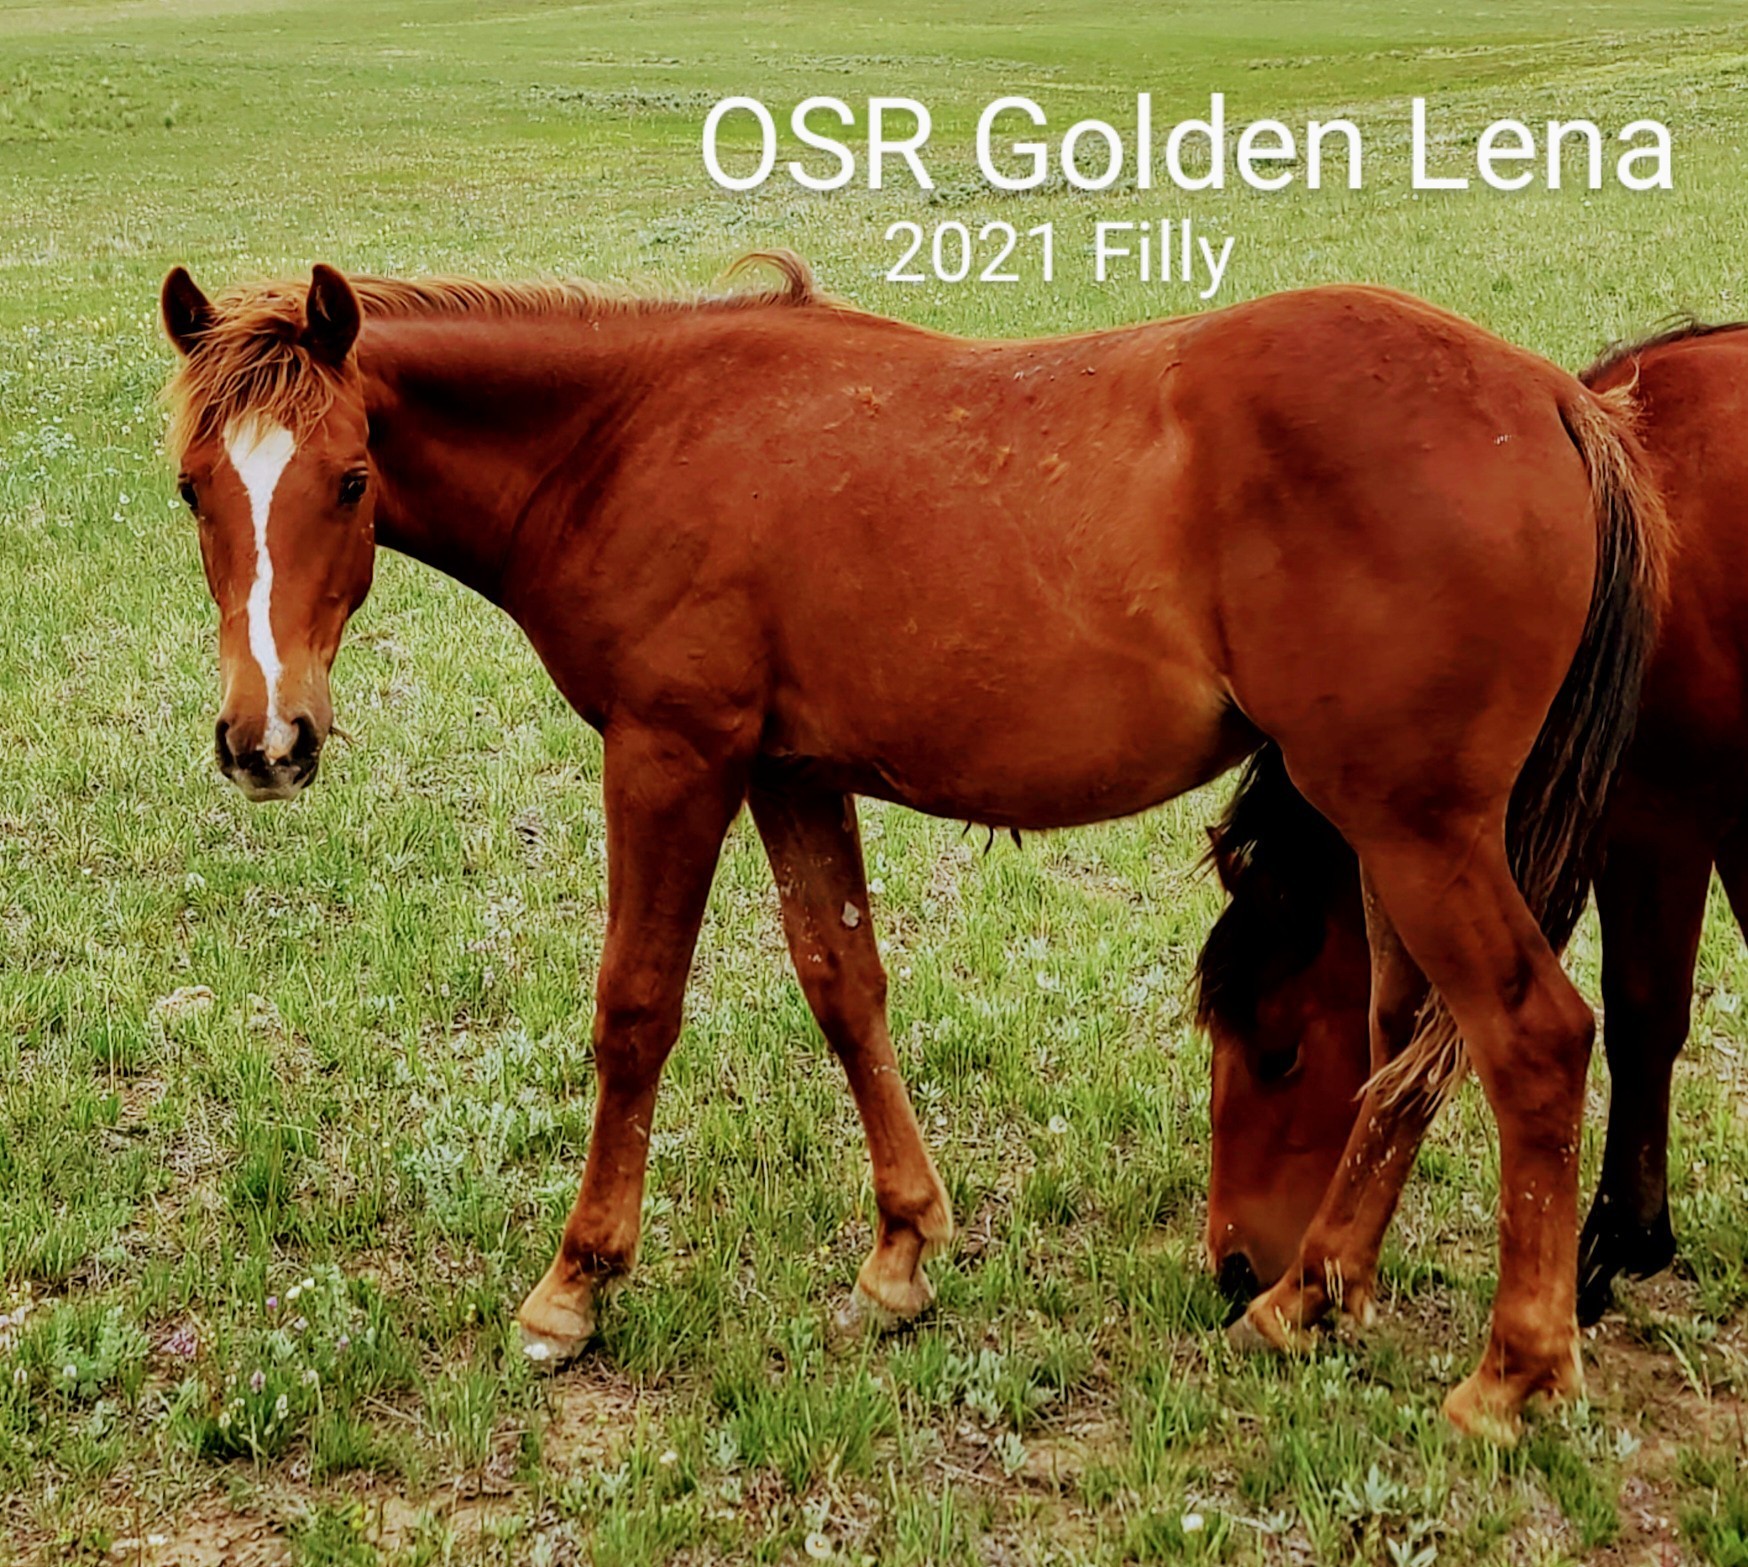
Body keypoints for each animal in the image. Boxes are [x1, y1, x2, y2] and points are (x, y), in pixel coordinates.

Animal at [158, 253, 1666, 1438]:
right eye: (191, 491)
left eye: (350, 478)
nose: (267, 737)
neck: (631, 433)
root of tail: (1552, 397)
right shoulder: (791, 774)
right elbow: (846, 990)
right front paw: (899, 1256)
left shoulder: (672, 756)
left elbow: (635, 1012)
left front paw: (575, 1286)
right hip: (1393, 835)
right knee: (1409, 1044)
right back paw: (1304, 1301)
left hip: (1415, 829)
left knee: (1529, 1037)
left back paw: (1510, 1374)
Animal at [1202, 320, 1748, 1339]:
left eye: (1279, 1050)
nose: (1232, 1264)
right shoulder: (1689, 823)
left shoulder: (1685, 822)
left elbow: (1642, 1012)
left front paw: (1615, 1240)